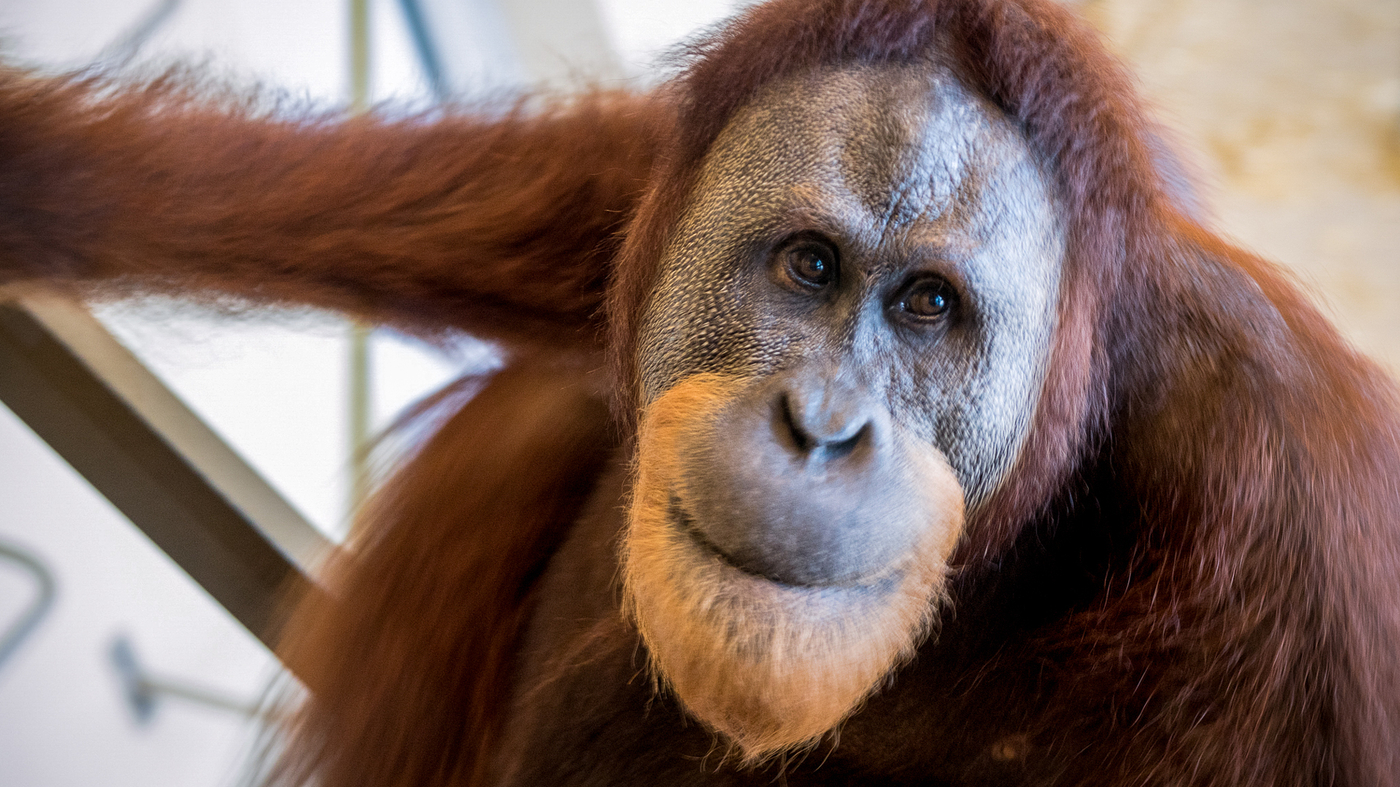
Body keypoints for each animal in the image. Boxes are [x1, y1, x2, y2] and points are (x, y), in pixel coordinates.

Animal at [2, 0, 1399, 784]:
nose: (819, 427)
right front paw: (36, 168)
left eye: (926, 306)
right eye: (809, 266)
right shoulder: (639, 182)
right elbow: (330, 201)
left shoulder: (1298, 522)